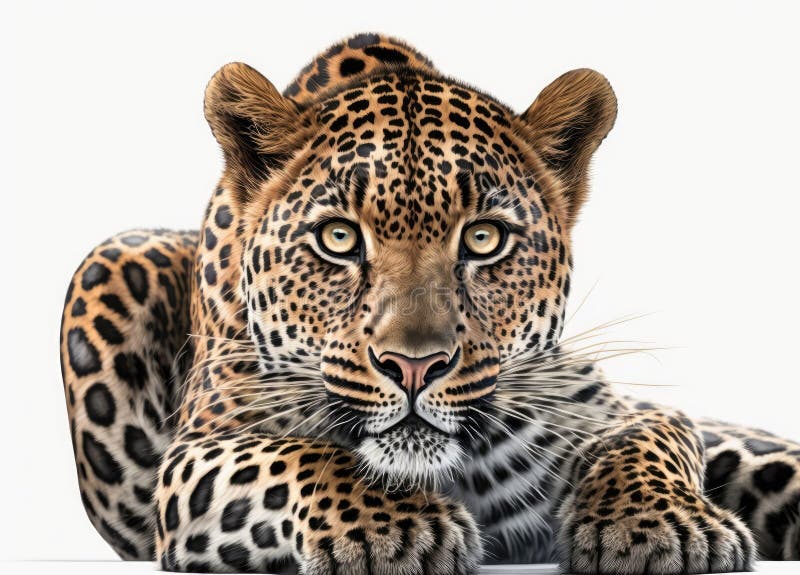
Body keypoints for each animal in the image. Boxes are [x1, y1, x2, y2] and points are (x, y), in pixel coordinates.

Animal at [60, 33, 800, 574]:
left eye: (483, 238)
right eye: (338, 238)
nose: (414, 367)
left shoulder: (607, 407)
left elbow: (648, 437)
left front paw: (664, 525)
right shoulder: (200, 450)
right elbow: (293, 455)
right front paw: (392, 527)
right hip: (109, 261)